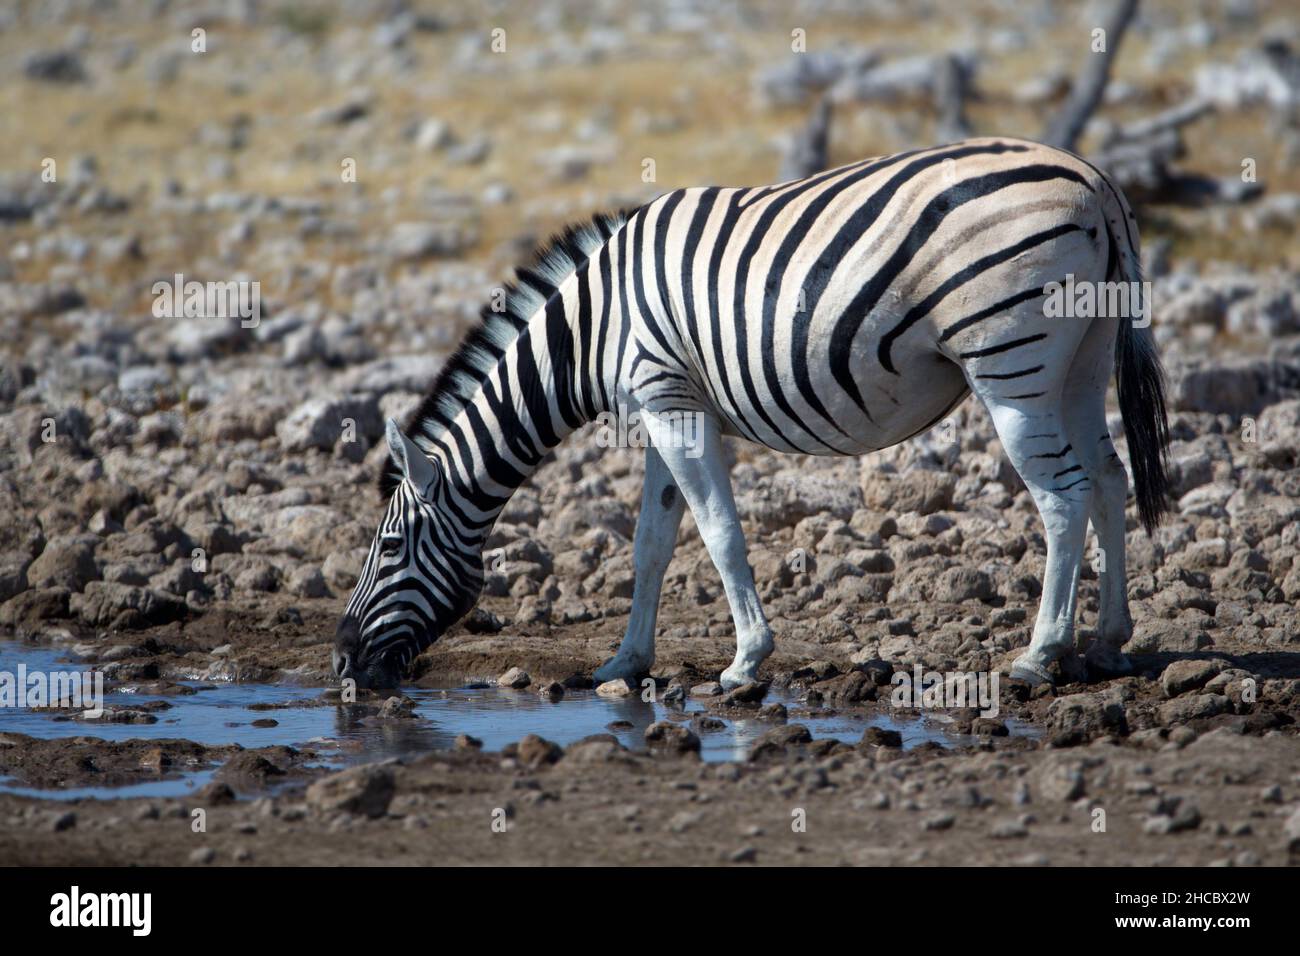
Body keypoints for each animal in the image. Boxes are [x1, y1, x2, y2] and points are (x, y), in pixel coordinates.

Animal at [333, 136, 1170, 692]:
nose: (340, 660)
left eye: (391, 546)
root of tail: (1096, 180)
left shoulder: (670, 400)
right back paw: (1108, 641)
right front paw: (624, 663)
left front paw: (744, 662)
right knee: (1107, 477)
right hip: (1082, 357)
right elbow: (650, 544)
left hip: (1009, 361)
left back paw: (1041, 653)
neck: (591, 331)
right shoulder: (661, 407)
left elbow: (719, 534)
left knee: (1062, 495)